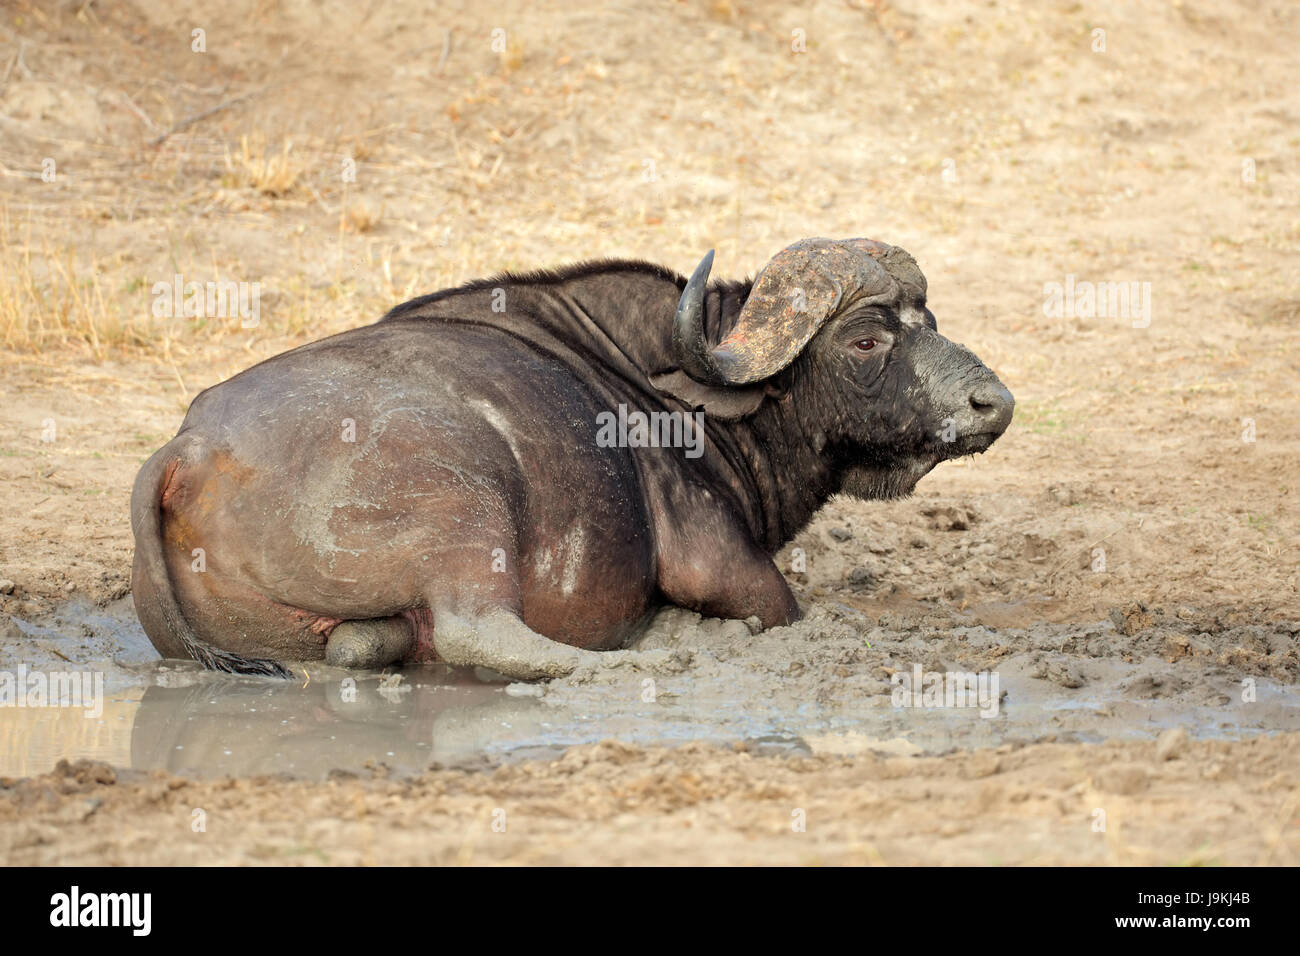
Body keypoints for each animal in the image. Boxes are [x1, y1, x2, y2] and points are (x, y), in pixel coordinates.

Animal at [130, 237, 1014, 680]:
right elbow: (783, 606)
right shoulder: (725, 564)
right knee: (476, 632)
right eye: (866, 339)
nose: (993, 403)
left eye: (930, 320)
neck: (686, 397)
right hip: (467, 507)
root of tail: (188, 448)